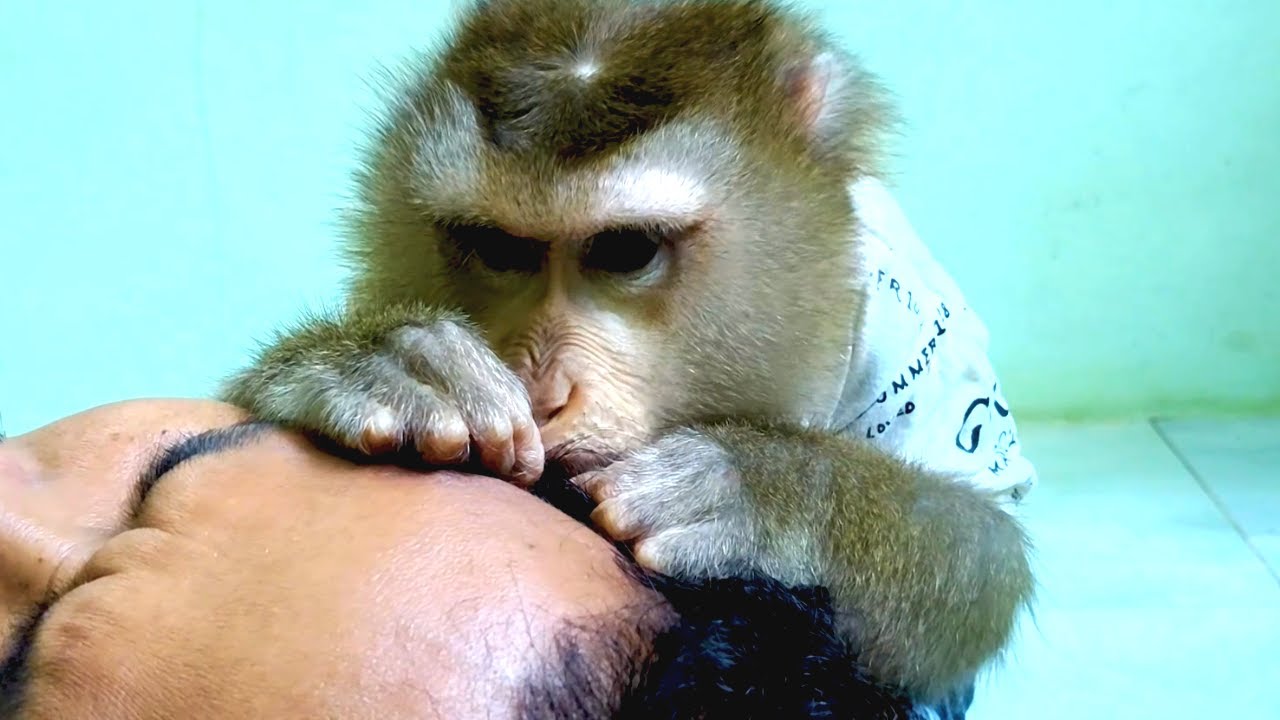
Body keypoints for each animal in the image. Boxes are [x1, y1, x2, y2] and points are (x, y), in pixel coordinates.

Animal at [220, 0, 1037, 705]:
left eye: (625, 250)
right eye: (498, 247)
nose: (543, 395)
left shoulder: (912, 322)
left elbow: (987, 552)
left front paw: (757, 485)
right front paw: (387, 362)